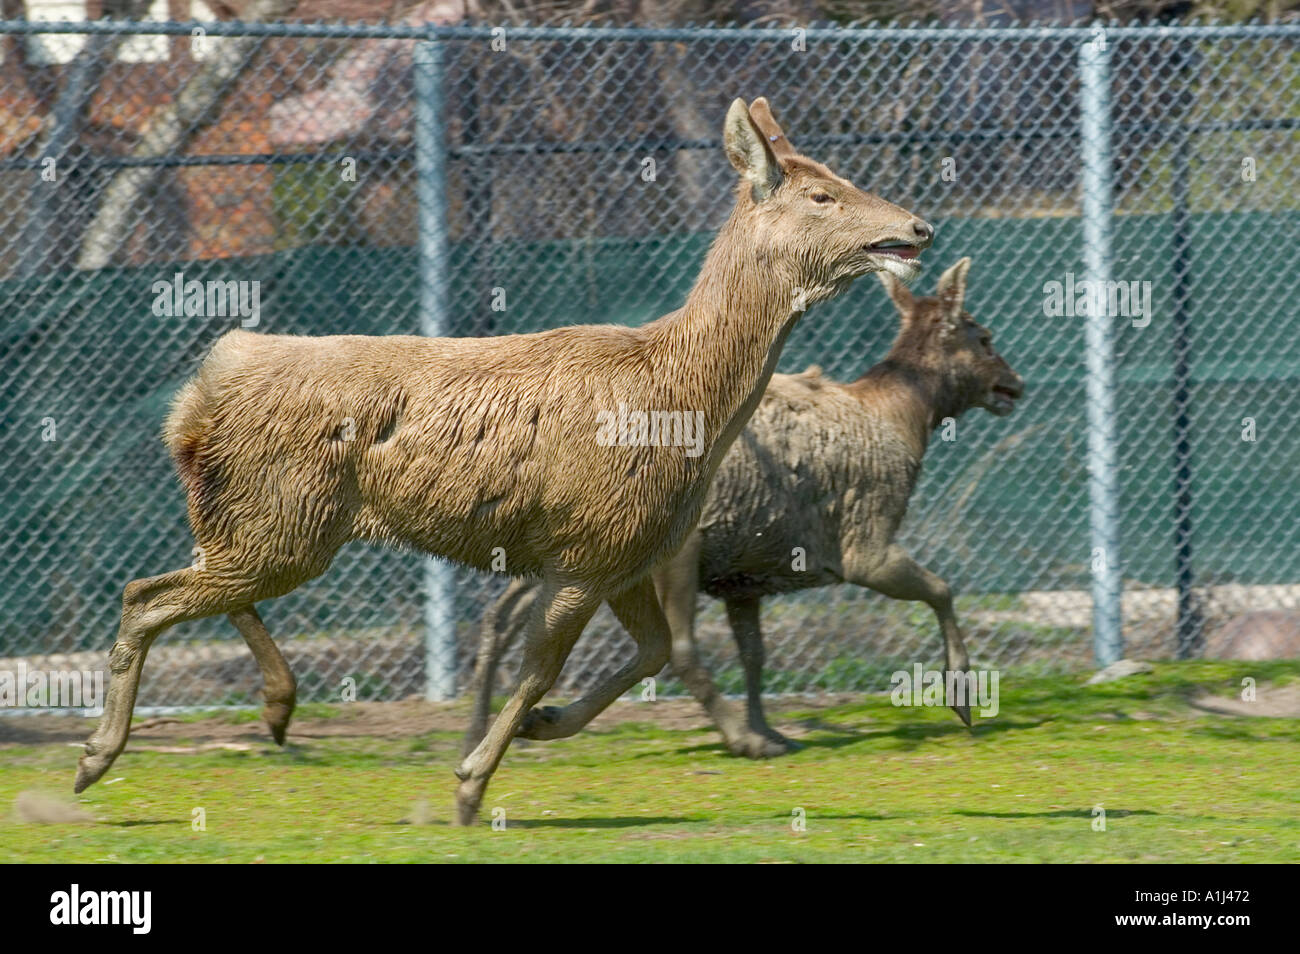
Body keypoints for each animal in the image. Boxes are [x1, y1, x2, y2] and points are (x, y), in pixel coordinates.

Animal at [73, 98, 933, 825]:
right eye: (820, 195)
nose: (918, 226)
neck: (679, 402)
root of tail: (198, 396)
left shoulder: (627, 550)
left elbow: (650, 651)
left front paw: (543, 729)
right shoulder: (586, 546)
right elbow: (542, 666)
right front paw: (470, 783)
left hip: (263, 520)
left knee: (187, 583)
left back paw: (274, 708)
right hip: (284, 518)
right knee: (147, 593)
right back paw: (96, 757)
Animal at [464, 258, 1023, 759]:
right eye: (983, 336)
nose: (1014, 385)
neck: (907, 420)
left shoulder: (746, 576)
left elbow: (755, 654)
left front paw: (773, 728)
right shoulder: (863, 543)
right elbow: (941, 589)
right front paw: (961, 697)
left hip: (559, 541)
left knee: (501, 615)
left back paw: (481, 733)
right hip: (670, 548)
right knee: (679, 647)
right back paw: (736, 739)